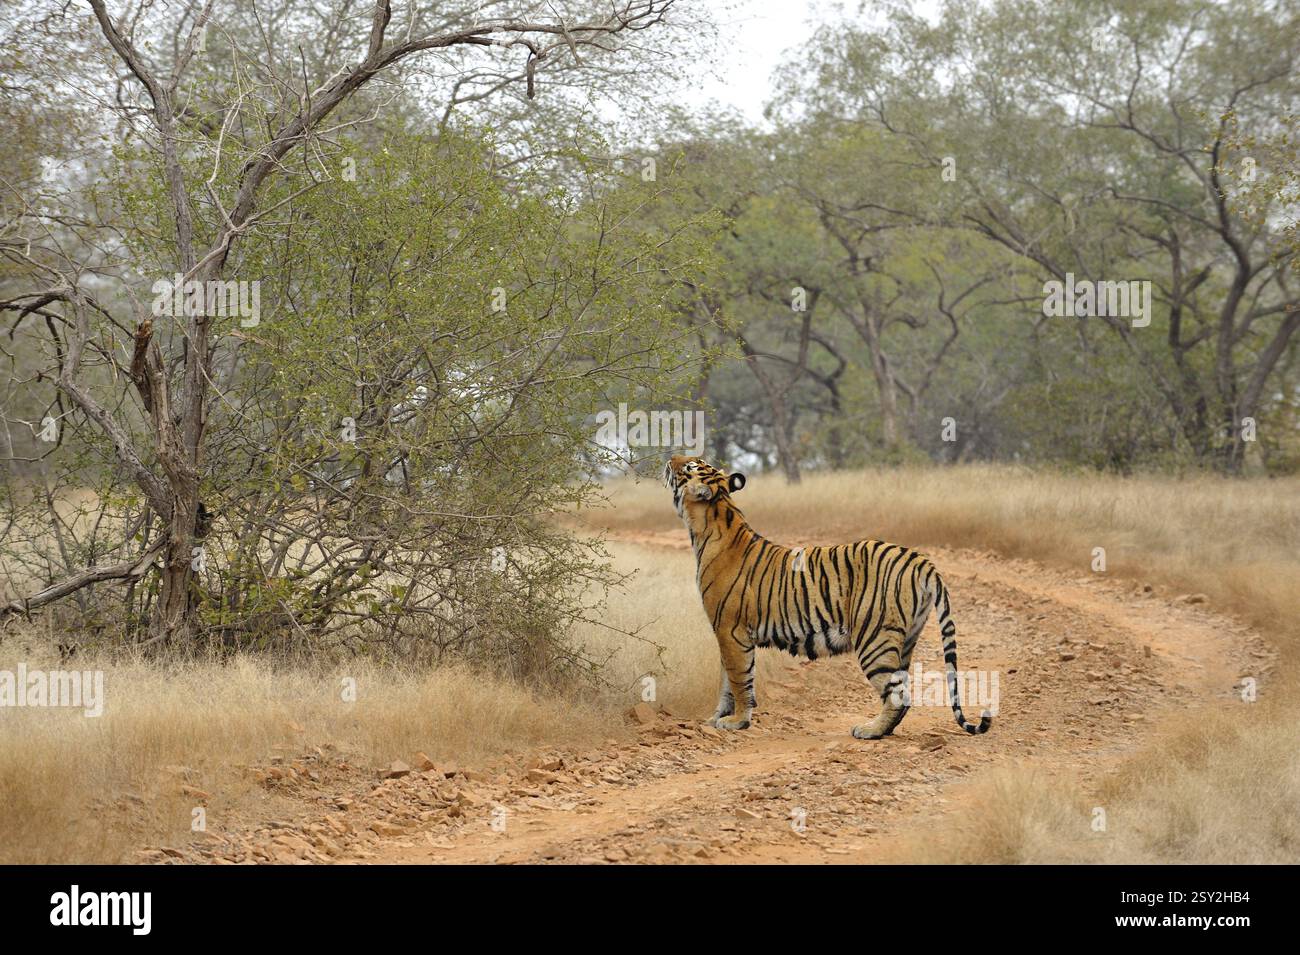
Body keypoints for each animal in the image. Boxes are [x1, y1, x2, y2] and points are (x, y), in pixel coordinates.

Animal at [663, 454, 992, 740]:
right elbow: (726, 682)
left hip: (874, 638)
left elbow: (739, 679)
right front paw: (716, 718)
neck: (714, 519)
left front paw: (737, 721)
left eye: (690, 465)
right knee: (904, 689)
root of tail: (919, 559)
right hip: (908, 637)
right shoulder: (727, 635)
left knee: (897, 694)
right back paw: (884, 730)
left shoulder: (731, 632)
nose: (671, 457)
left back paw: (870, 731)